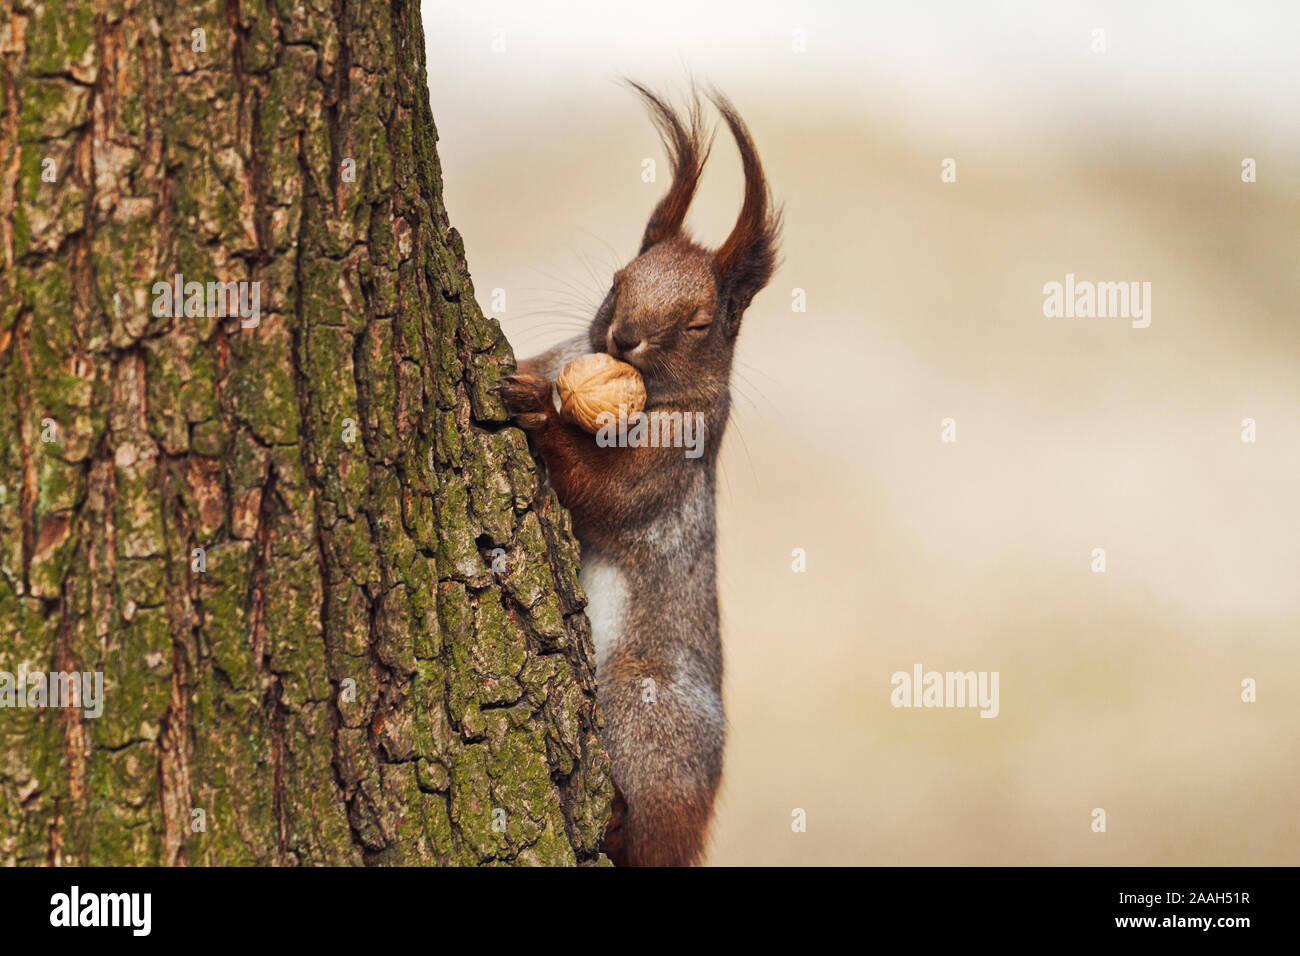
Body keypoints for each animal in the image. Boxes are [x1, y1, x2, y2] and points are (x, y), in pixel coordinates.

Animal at [500, 82, 779, 866]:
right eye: (617, 282)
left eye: (701, 323)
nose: (623, 337)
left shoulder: (672, 463)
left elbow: (608, 495)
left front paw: (538, 413)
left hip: (641, 715)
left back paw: (623, 820)